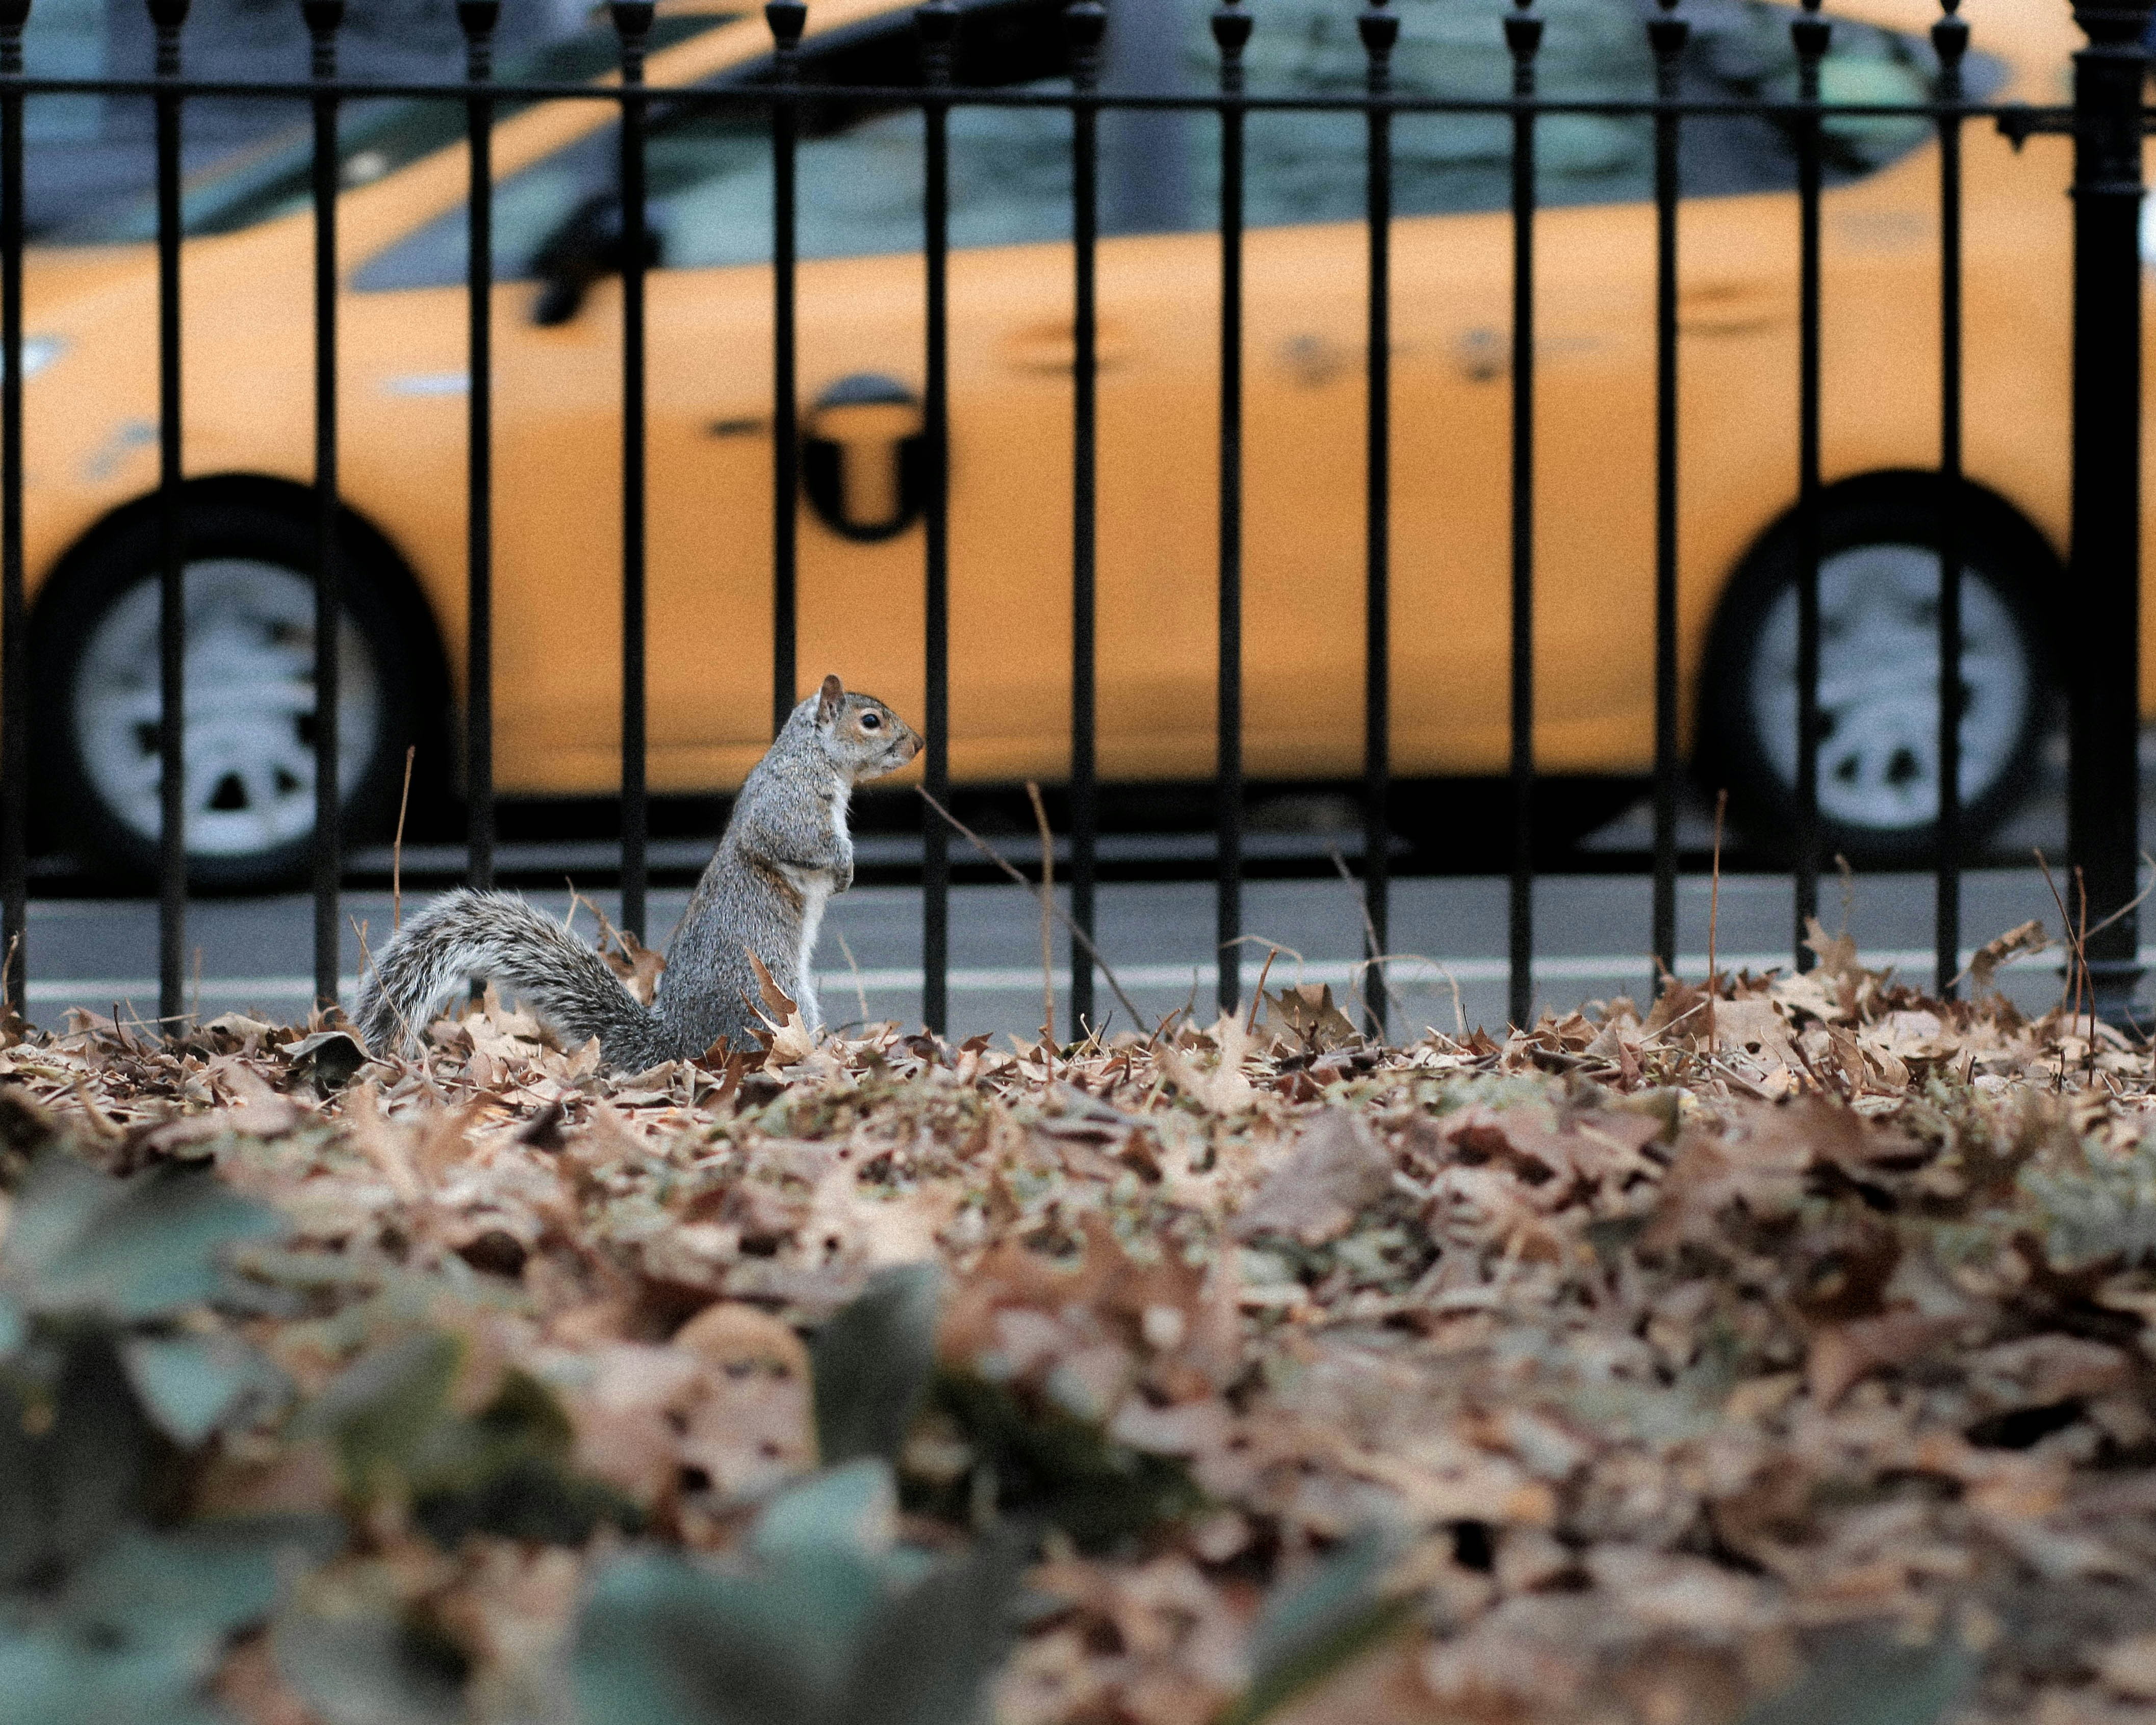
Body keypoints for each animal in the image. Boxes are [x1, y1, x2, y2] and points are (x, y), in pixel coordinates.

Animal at [353, 674, 922, 1068]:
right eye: (870, 720)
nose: (917, 744)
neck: (814, 755)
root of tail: (683, 1043)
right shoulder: (791, 804)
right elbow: (796, 840)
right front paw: (845, 869)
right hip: (776, 996)